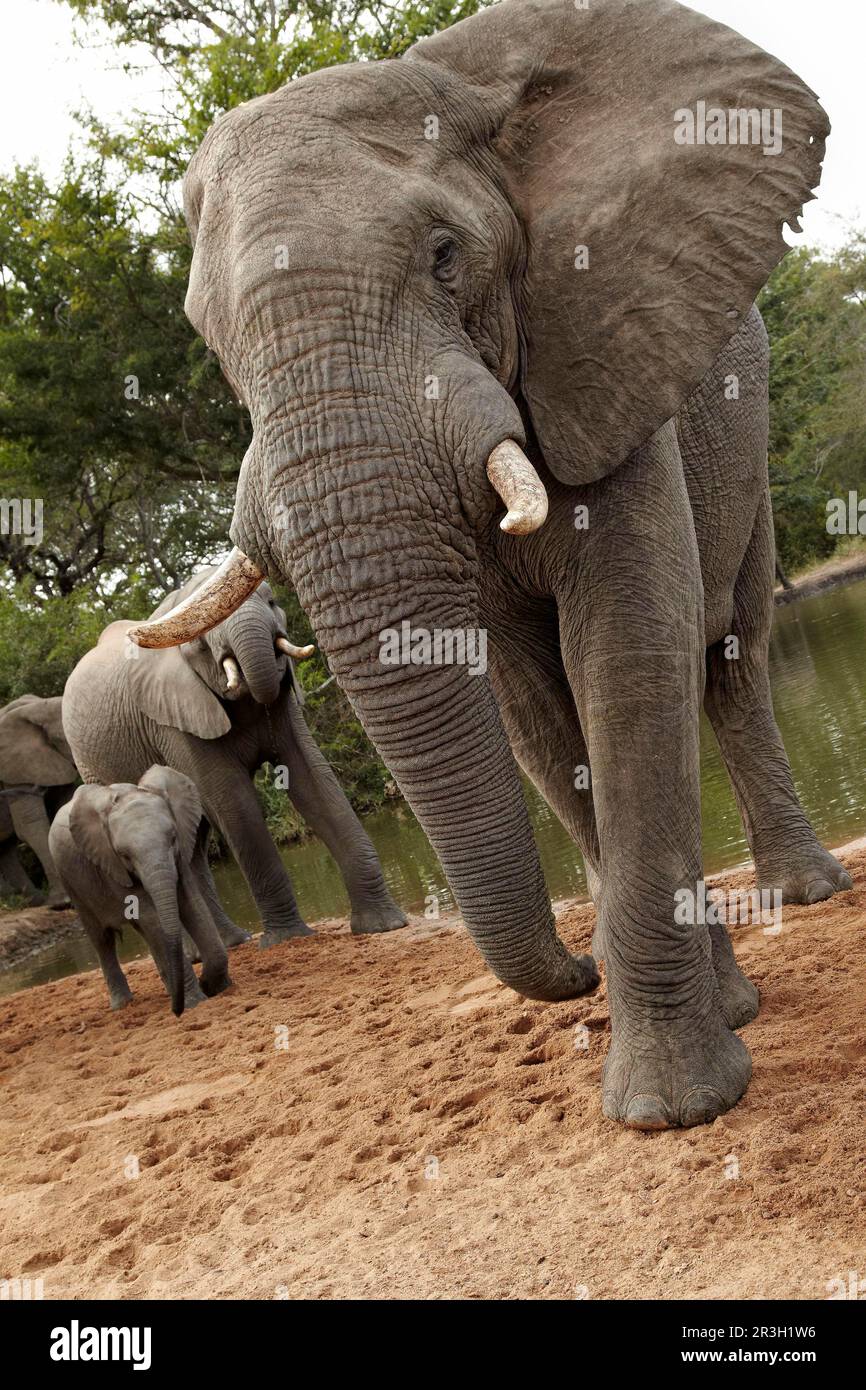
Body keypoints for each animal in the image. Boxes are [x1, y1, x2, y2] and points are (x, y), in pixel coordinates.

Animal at [49, 766, 231, 1014]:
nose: (176, 1011)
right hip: (71, 883)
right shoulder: (111, 865)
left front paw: (215, 987)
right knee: (102, 939)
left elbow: (192, 903)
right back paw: (122, 1004)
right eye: (124, 854)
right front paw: (195, 1001)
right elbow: (152, 918)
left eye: (173, 838)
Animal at [62, 571, 407, 945]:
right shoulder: (173, 717)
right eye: (200, 636)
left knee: (191, 844)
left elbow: (312, 778)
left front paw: (383, 925)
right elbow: (233, 801)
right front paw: (285, 939)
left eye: (272, 602)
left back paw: (232, 942)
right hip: (92, 763)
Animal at [127, 0, 844, 1128]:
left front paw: (673, 1109)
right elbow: (536, 712)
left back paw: (808, 890)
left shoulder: (601, 350)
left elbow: (627, 657)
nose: (576, 972)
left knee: (731, 653)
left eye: (443, 255)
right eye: (206, 332)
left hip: (750, 429)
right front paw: (712, 1022)